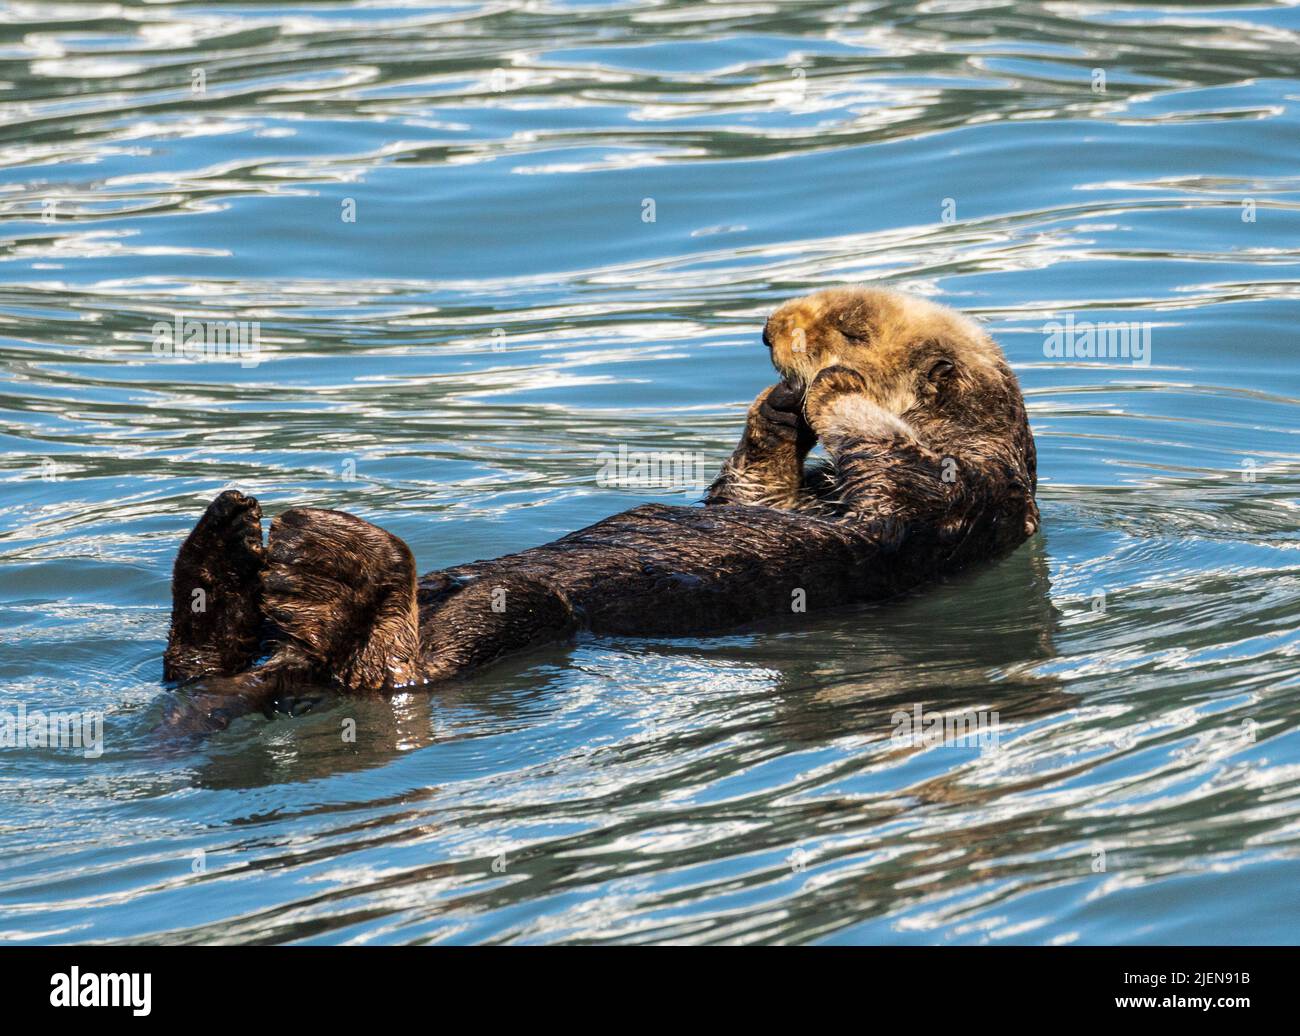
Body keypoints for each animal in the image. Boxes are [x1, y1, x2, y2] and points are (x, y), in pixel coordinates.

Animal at [161, 287, 1038, 731]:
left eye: (852, 327)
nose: (768, 330)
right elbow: (754, 490)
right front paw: (777, 408)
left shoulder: (957, 493)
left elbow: (891, 471)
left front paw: (830, 387)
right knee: (198, 666)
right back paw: (223, 548)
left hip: (513, 616)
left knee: (392, 669)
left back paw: (330, 563)